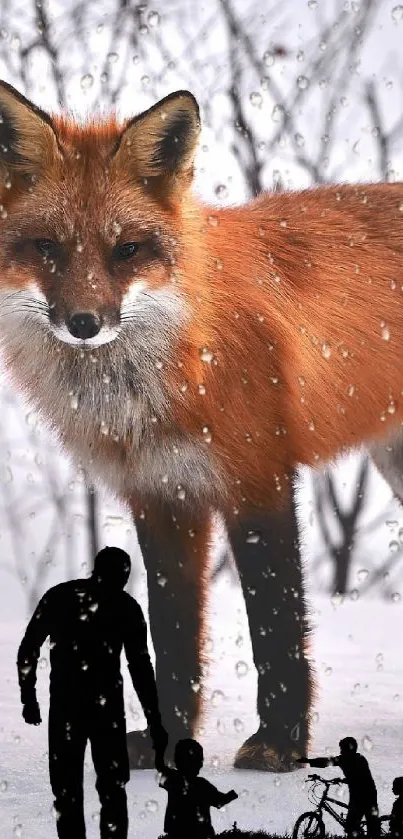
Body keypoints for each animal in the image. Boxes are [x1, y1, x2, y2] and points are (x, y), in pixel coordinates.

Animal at [0, 79, 402, 773]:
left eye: (126, 250)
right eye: (47, 248)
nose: (84, 323)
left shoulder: (258, 478)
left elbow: (276, 623)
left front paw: (281, 743)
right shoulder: (163, 496)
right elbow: (171, 635)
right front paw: (166, 740)